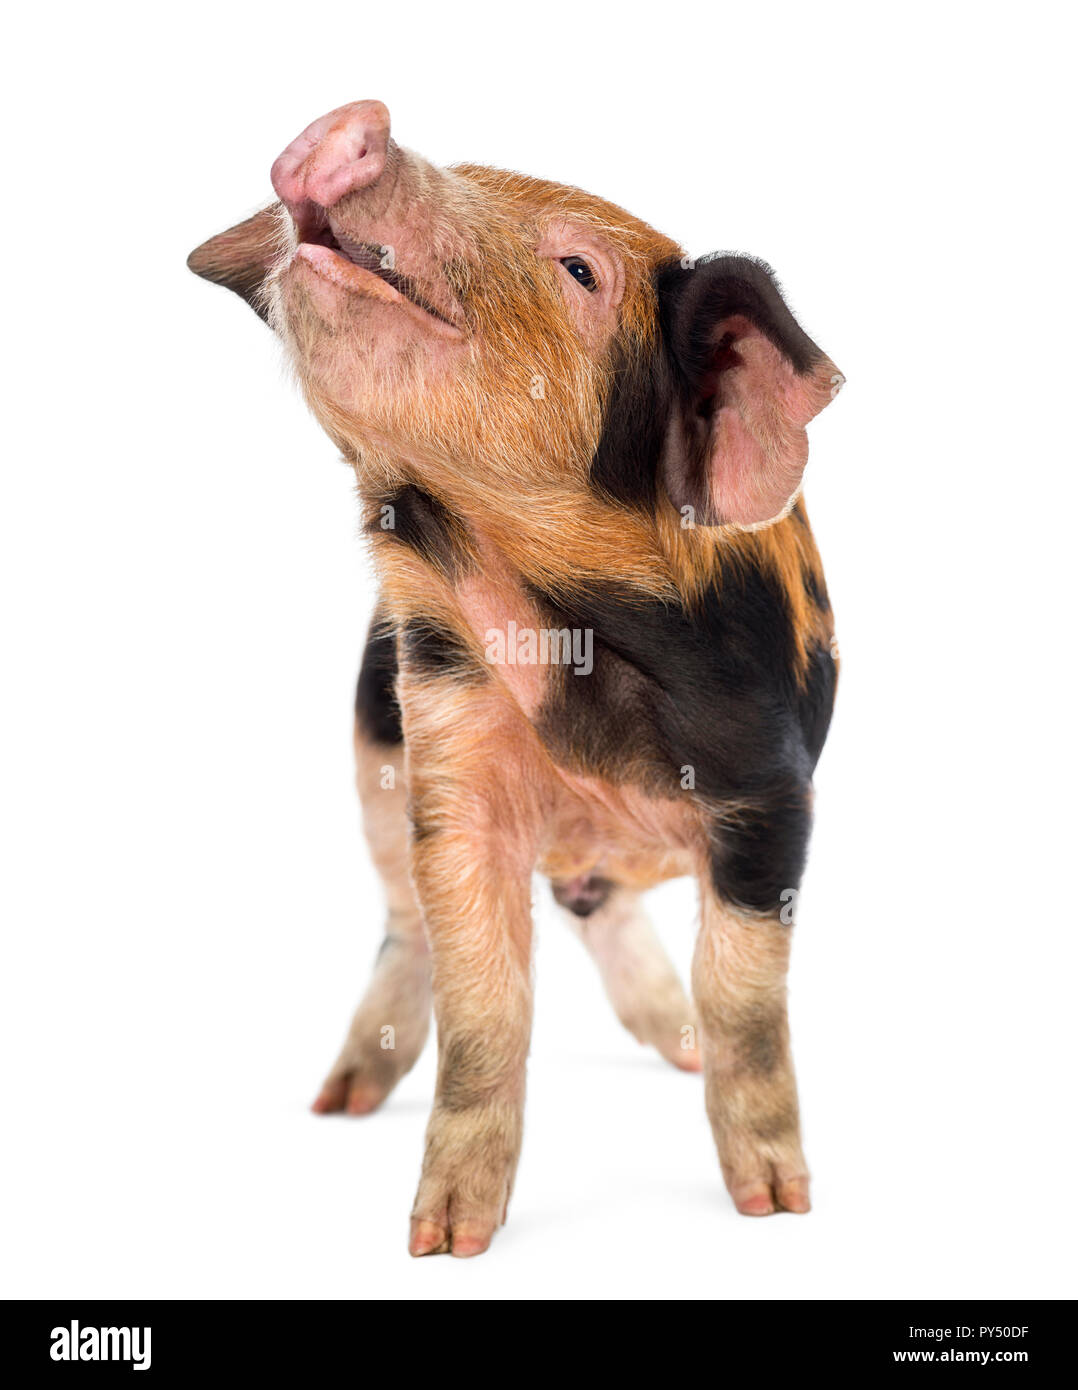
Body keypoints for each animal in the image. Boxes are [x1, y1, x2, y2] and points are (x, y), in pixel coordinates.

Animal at [188, 99, 843, 1257]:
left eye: (580, 270)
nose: (352, 118)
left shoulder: (770, 791)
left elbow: (744, 1003)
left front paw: (777, 1206)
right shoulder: (446, 753)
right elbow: (484, 1002)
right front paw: (443, 1243)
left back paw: (675, 1046)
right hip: (374, 763)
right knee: (409, 922)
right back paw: (340, 1102)